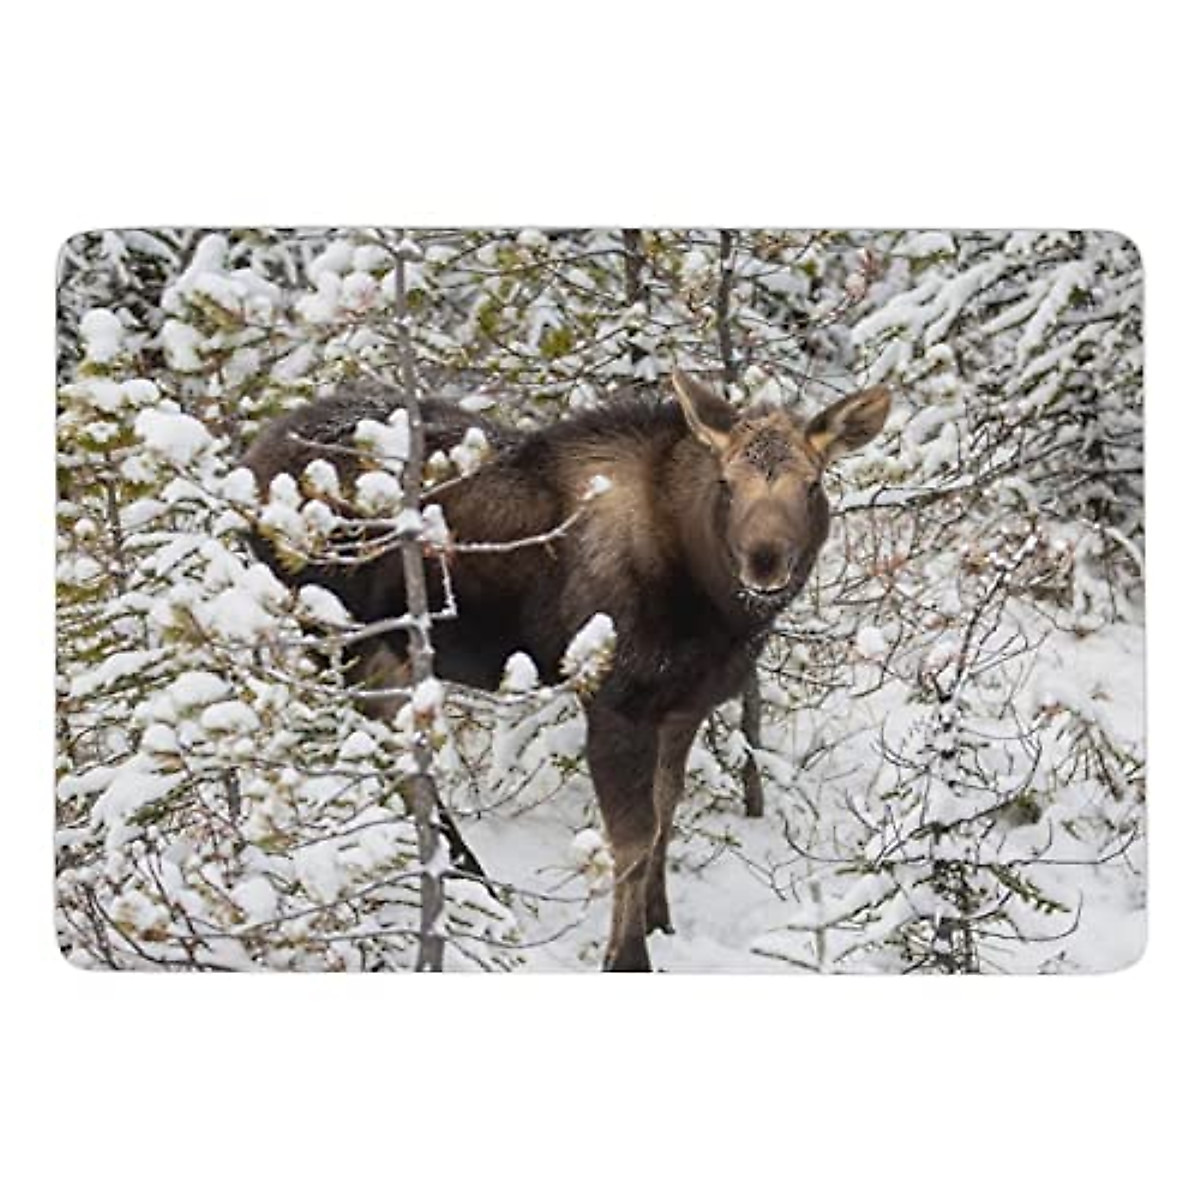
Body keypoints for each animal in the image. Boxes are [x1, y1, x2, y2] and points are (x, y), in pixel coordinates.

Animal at [241, 370, 891, 970]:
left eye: (813, 483)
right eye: (726, 482)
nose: (765, 562)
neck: (713, 607)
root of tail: (248, 463)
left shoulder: (684, 704)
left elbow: (666, 814)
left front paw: (659, 921)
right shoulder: (616, 699)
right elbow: (631, 838)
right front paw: (627, 958)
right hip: (344, 639)